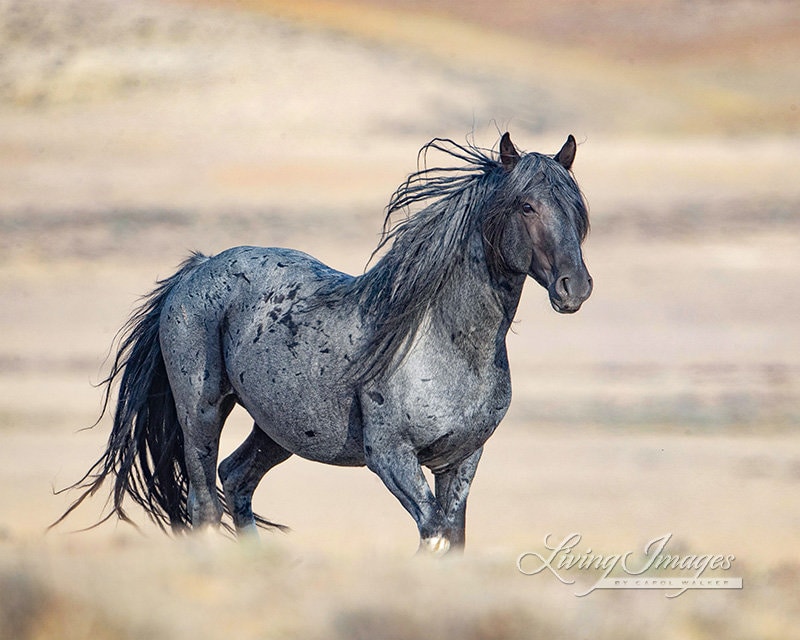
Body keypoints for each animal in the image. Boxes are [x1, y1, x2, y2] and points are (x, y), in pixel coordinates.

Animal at [55, 132, 592, 554]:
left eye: (576, 210)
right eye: (526, 205)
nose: (576, 287)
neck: (449, 344)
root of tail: (197, 268)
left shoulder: (461, 460)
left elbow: (452, 538)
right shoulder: (391, 457)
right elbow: (435, 534)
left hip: (277, 429)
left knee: (237, 478)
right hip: (201, 412)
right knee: (205, 502)